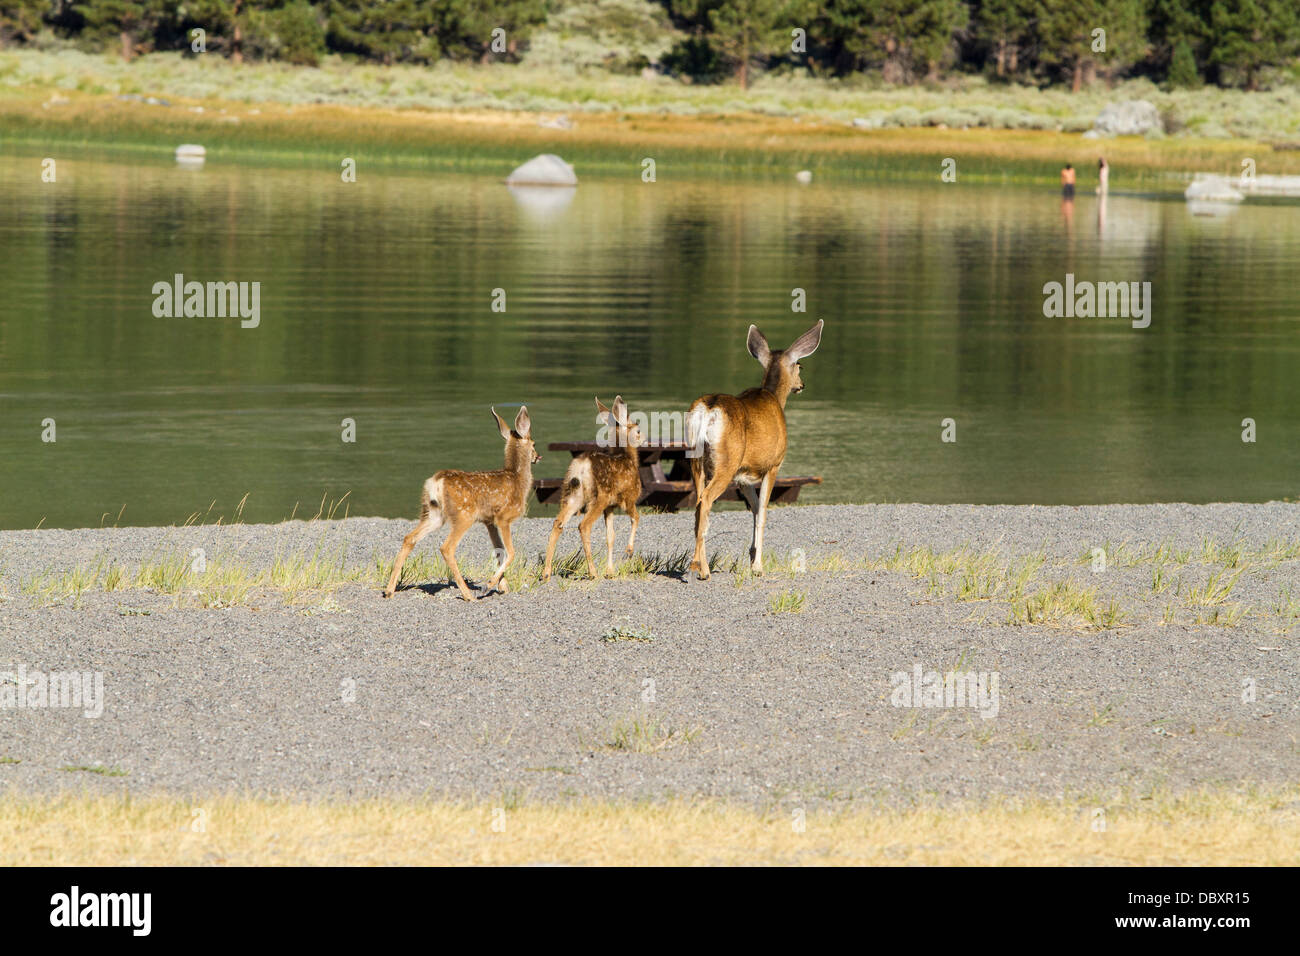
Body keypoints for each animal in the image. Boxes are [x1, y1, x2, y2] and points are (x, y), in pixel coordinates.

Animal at [382, 406, 540, 602]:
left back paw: (389, 590)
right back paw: (467, 594)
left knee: (409, 538)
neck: (517, 479)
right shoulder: (504, 517)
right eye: (534, 444)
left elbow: (499, 551)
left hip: (433, 514)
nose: (538, 457)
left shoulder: (488, 521)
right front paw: (489, 585)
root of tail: (436, 482)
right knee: (447, 547)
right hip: (463, 515)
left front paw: (502, 586)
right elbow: (510, 552)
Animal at [542, 396, 644, 581]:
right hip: (598, 497)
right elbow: (636, 519)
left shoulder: (610, 506)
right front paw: (629, 551)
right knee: (583, 526)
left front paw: (610, 571)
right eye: (638, 430)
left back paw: (546, 572)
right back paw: (593, 572)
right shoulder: (629, 498)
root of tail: (581, 467)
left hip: (572, 495)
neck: (629, 459)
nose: (644, 438)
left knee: (558, 523)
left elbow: (610, 536)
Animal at [685, 319, 824, 581]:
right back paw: (702, 569)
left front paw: (752, 557)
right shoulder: (773, 465)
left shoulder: (743, 476)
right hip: (726, 463)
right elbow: (763, 512)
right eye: (799, 365)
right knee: (705, 500)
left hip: (695, 459)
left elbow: (755, 508)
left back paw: (699, 564)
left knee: (698, 502)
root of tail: (707, 409)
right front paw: (757, 565)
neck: (774, 397)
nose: (802, 385)